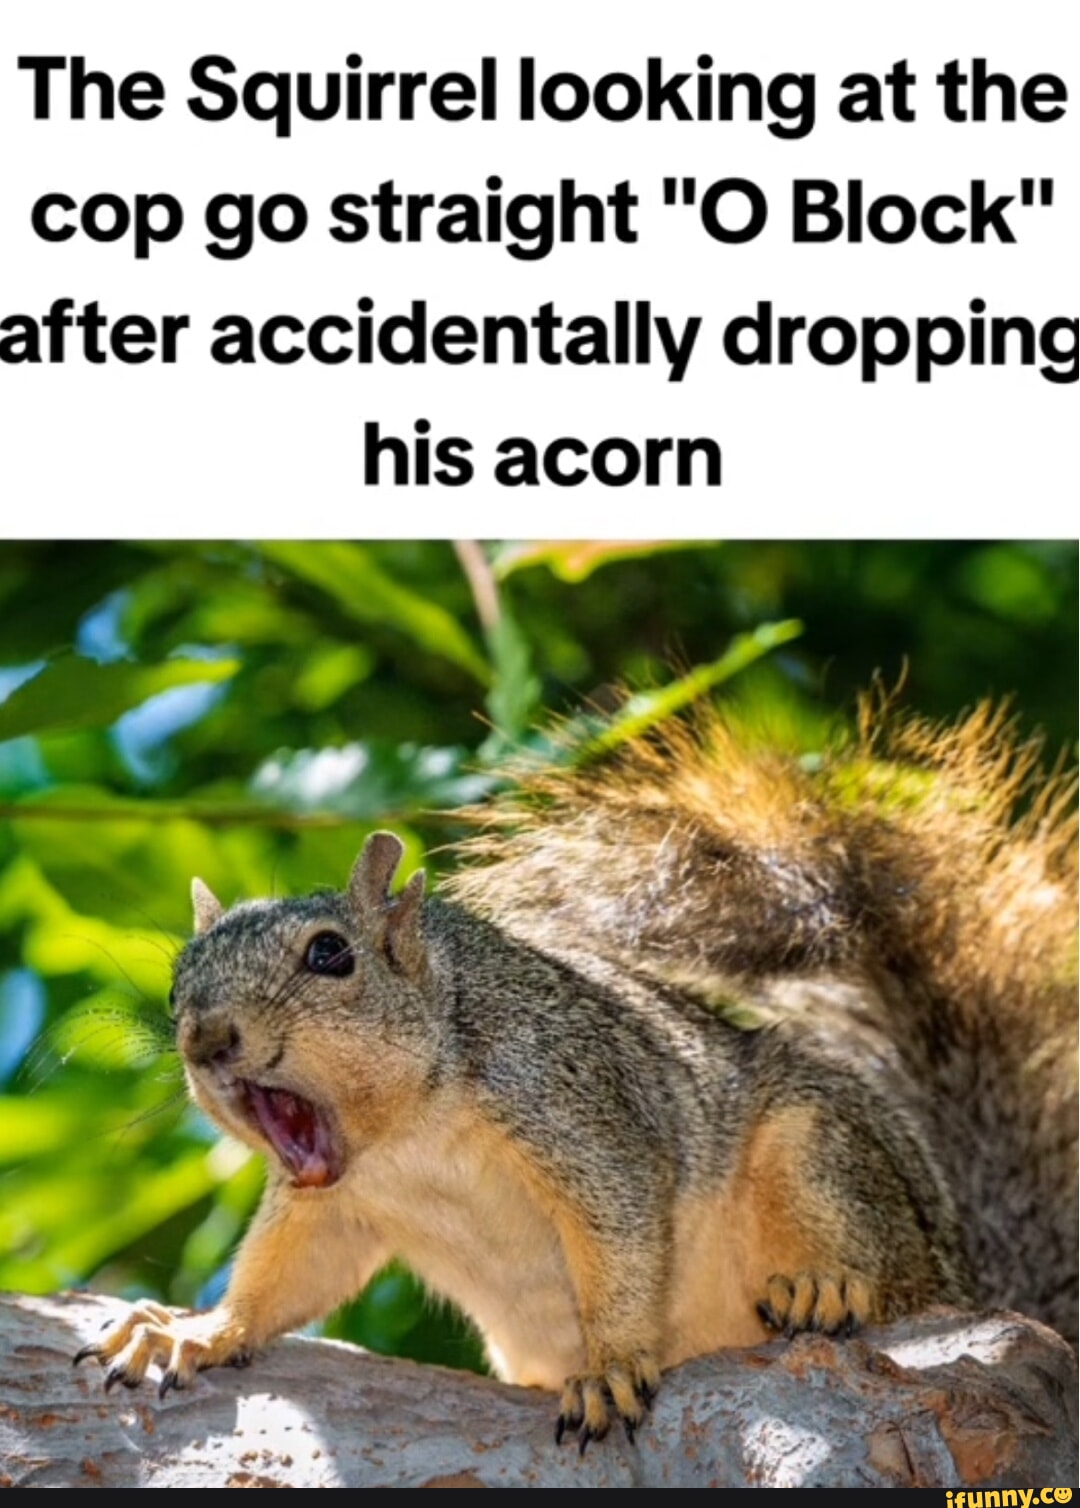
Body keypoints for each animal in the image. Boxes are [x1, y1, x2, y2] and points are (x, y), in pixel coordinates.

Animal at [75, 697, 1078, 1449]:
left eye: (330, 955)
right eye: (178, 981)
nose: (205, 1040)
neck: (406, 1132)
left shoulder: (576, 1101)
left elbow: (622, 1232)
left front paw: (610, 1367)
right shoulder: (336, 1203)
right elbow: (283, 1276)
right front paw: (194, 1331)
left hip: (822, 1148)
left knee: (893, 1276)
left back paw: (830, 1287)